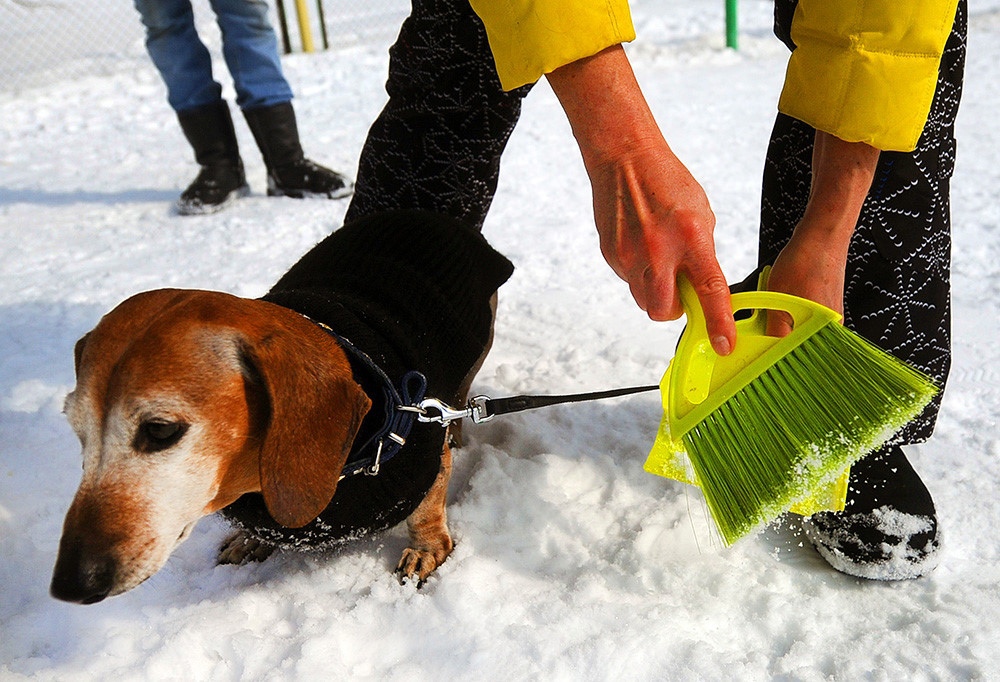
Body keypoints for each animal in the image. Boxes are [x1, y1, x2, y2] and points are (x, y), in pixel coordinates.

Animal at [49, 210, 512, 604]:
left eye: (161, 430)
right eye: (78, 433)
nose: (69, 585)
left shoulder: (426, 450)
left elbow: (427, 510)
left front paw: (426, 550)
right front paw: (253, 539)